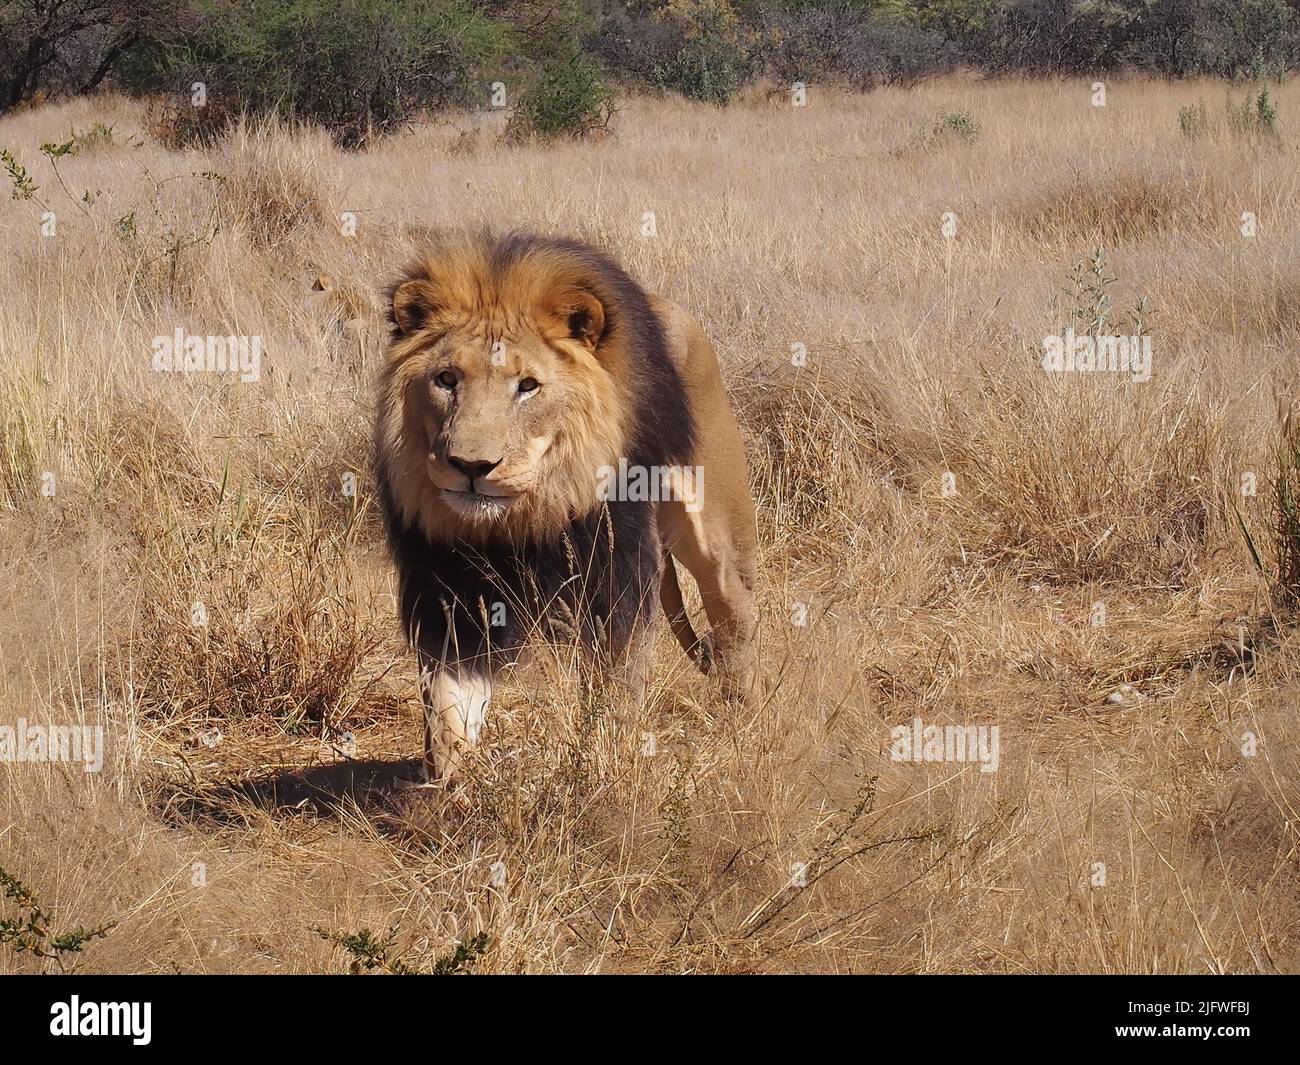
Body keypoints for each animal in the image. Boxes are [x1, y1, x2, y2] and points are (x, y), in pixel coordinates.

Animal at [374, 231, 758, 792]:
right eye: (446, 379)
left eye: (527, 386)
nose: (471, 466)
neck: (526, 513)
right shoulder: (447, 586)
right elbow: (448, 706)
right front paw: (449, 788)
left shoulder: (617, 575)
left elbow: (614, 689)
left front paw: (604, 768)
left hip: (717, 537)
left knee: (735, 622)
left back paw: (746, 724)